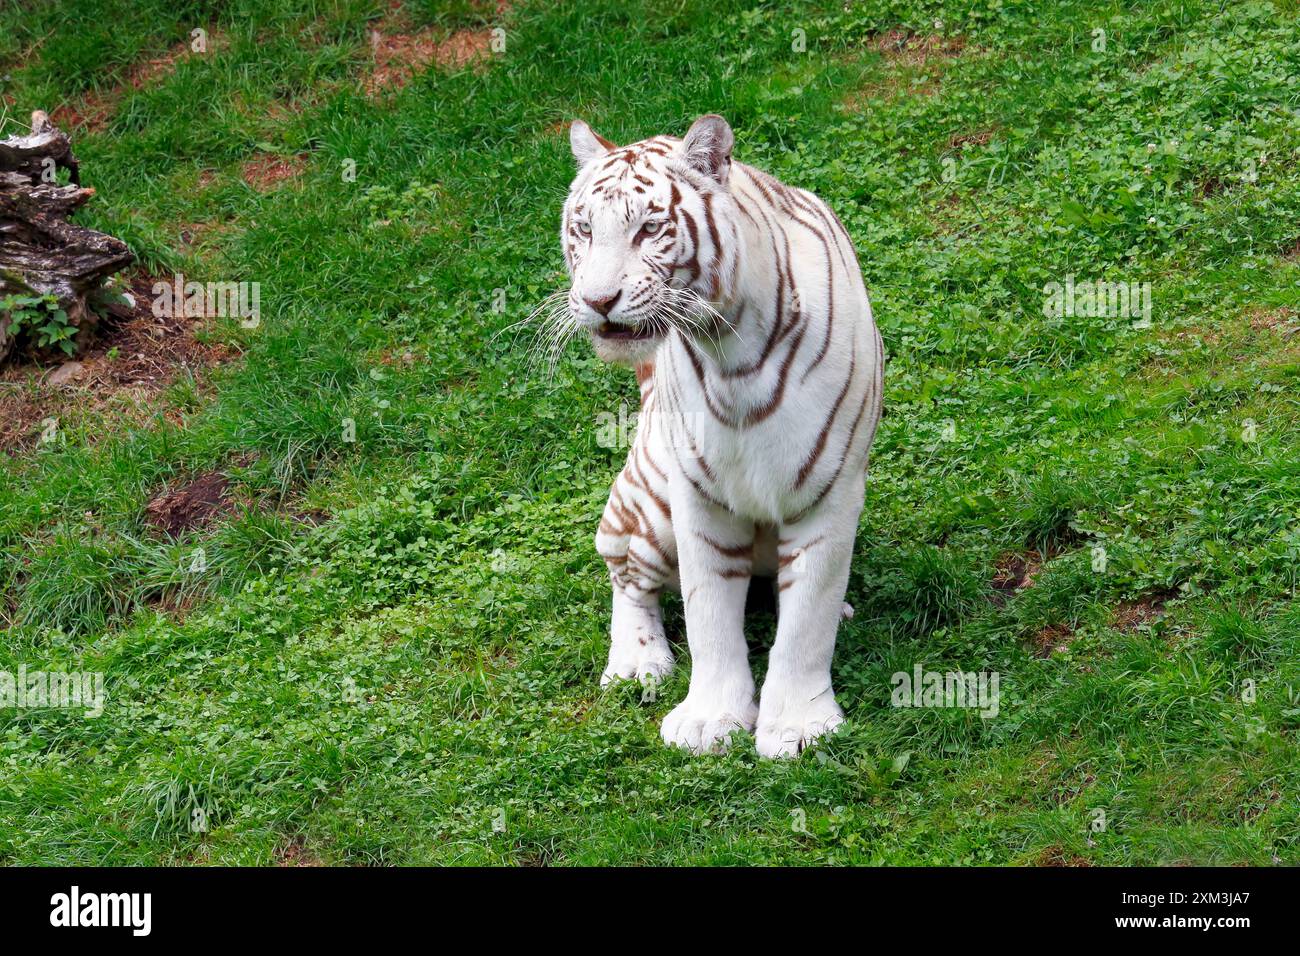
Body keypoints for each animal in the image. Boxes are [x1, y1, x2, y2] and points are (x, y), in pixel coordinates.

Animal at [560, 114, 884, 757]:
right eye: (584, 229)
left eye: (650, 228)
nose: (597, 301)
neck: (727, 348)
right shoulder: (697, 496)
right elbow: (708, 613)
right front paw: (710, 719)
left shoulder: (829, 492)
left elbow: (805, 622)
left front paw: (797, 726)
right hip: (648, 507)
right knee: (624, 571)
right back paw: (637, 663)